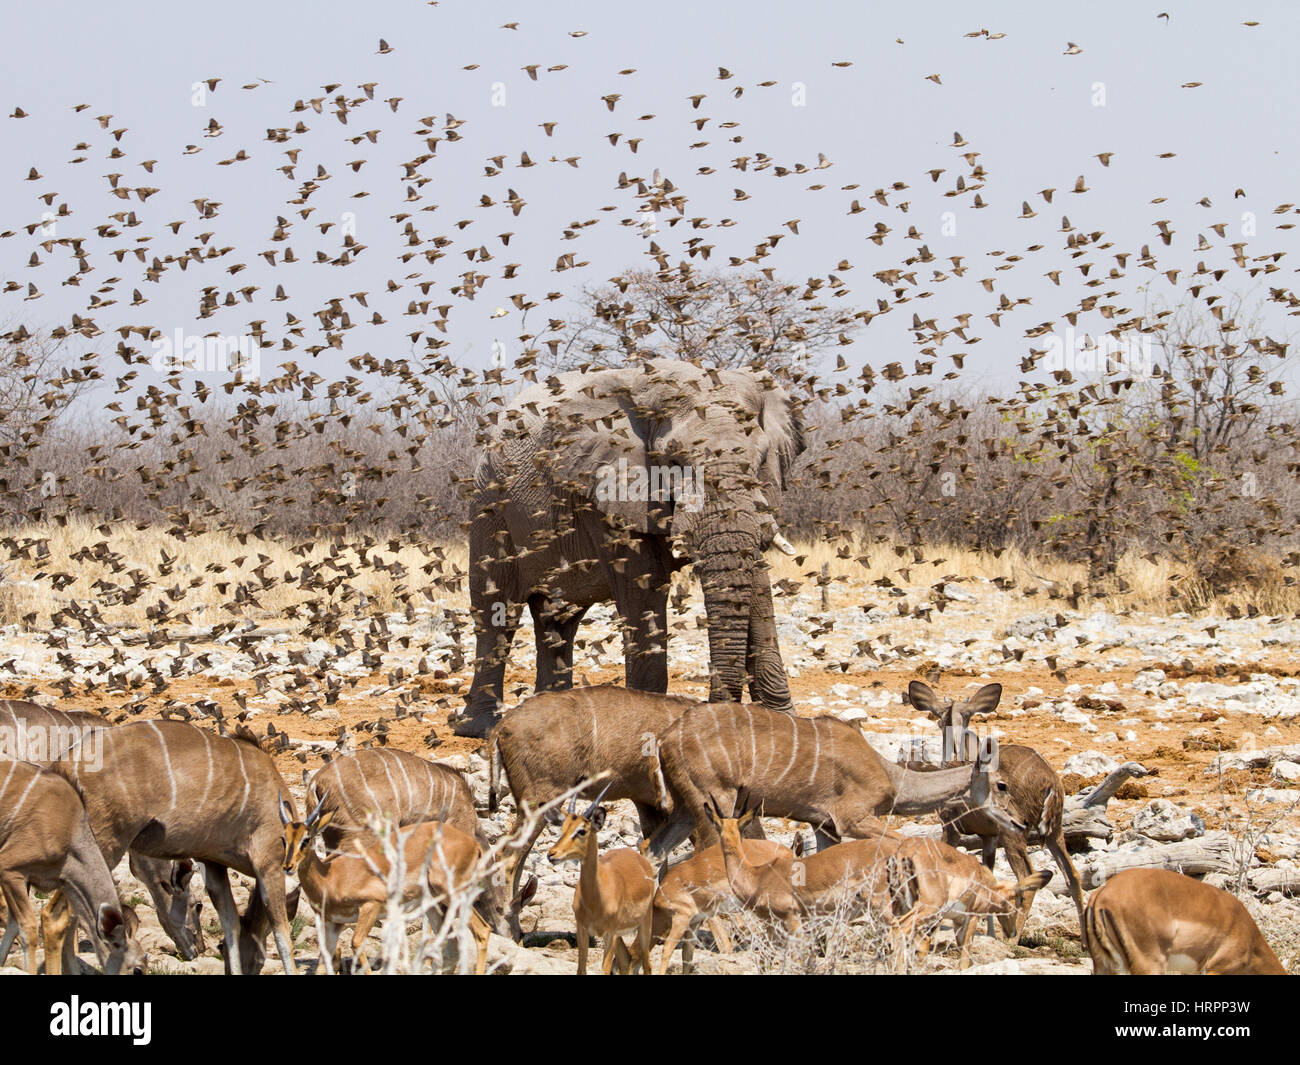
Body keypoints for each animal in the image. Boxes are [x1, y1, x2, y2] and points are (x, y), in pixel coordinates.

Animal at [53, 719, 301, 975]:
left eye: (220, 948)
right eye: (260, 961)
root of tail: (63, 766)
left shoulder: (214, 864)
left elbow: (231, 923)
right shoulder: (269, 864)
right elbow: (283, 936)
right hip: (101, 847)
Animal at [281, 795, 491, 974]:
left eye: (306, 839)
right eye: (284, 838)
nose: (287, 866)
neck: (331, 877)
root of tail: (473, 844)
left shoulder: (370, 905)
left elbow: (356, 943)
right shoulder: (333, 923)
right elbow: (323, 963)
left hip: (455, 894)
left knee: (482, 931)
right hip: (434, 905)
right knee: (452, 945)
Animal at [546, 785, 656, 975]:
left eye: (582, 830)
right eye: (563, 828)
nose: (551, 854)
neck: (595, 901)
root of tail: (639, 858)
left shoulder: (609, 933)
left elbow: (604, 970)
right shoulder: (582, 929)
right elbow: (581, 969)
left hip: (644, 925)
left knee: (647, 965)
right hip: (620, 936)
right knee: (625, 961)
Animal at [651, 701, 1010, 856]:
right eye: (1002, 785)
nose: (1019, 823)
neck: (890, 774)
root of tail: (666, 739)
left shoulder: (824, 825)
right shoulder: (852, 819)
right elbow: (901, 842)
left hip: (685, 810)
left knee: (652, 851)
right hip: (716, 804)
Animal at [908, 680, 1085, 935]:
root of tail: (1051, 783)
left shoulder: (951, 824)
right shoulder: (988, 835)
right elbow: (988, 876)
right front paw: (987, 930)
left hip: (1015, 828)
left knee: (1030, 875)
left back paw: (1012, 937)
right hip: (1055, 827)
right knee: (1073, 874)